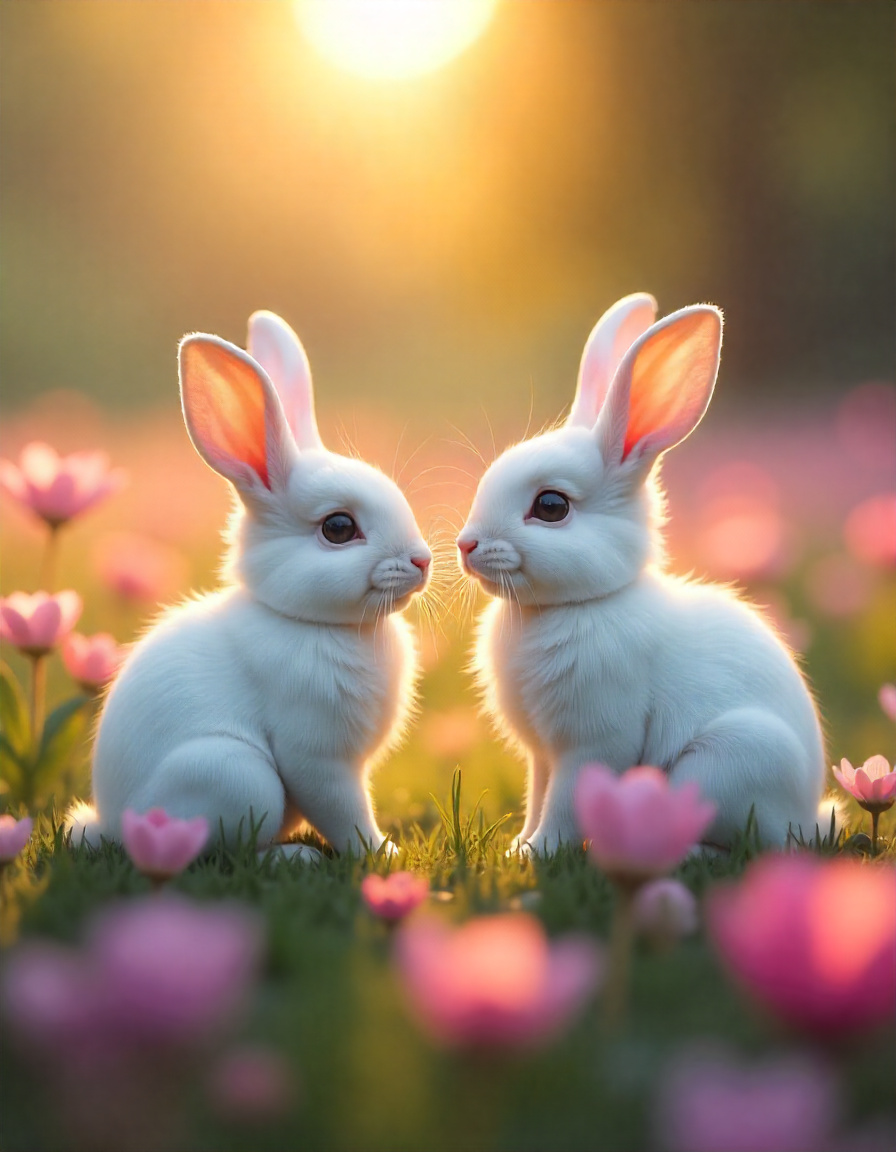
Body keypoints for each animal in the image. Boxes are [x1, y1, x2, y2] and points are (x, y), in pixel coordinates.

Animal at [67, 310, 432, 856]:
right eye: (338, 528)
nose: (422, 560)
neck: (309, 621)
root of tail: (114, 824)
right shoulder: (314, 754)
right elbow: (345, 813)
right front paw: (383, 855)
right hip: (234, 775)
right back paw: (295, 856)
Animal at [457, 294, 825, 854]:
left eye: (550, 506)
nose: (466, 545)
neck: (579, 603)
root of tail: (810, 816)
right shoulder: (543, 755)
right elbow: (538, 795)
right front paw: (519, 846)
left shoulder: (595, 742)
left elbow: (566, 801)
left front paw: (542, 852)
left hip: (724, 764)